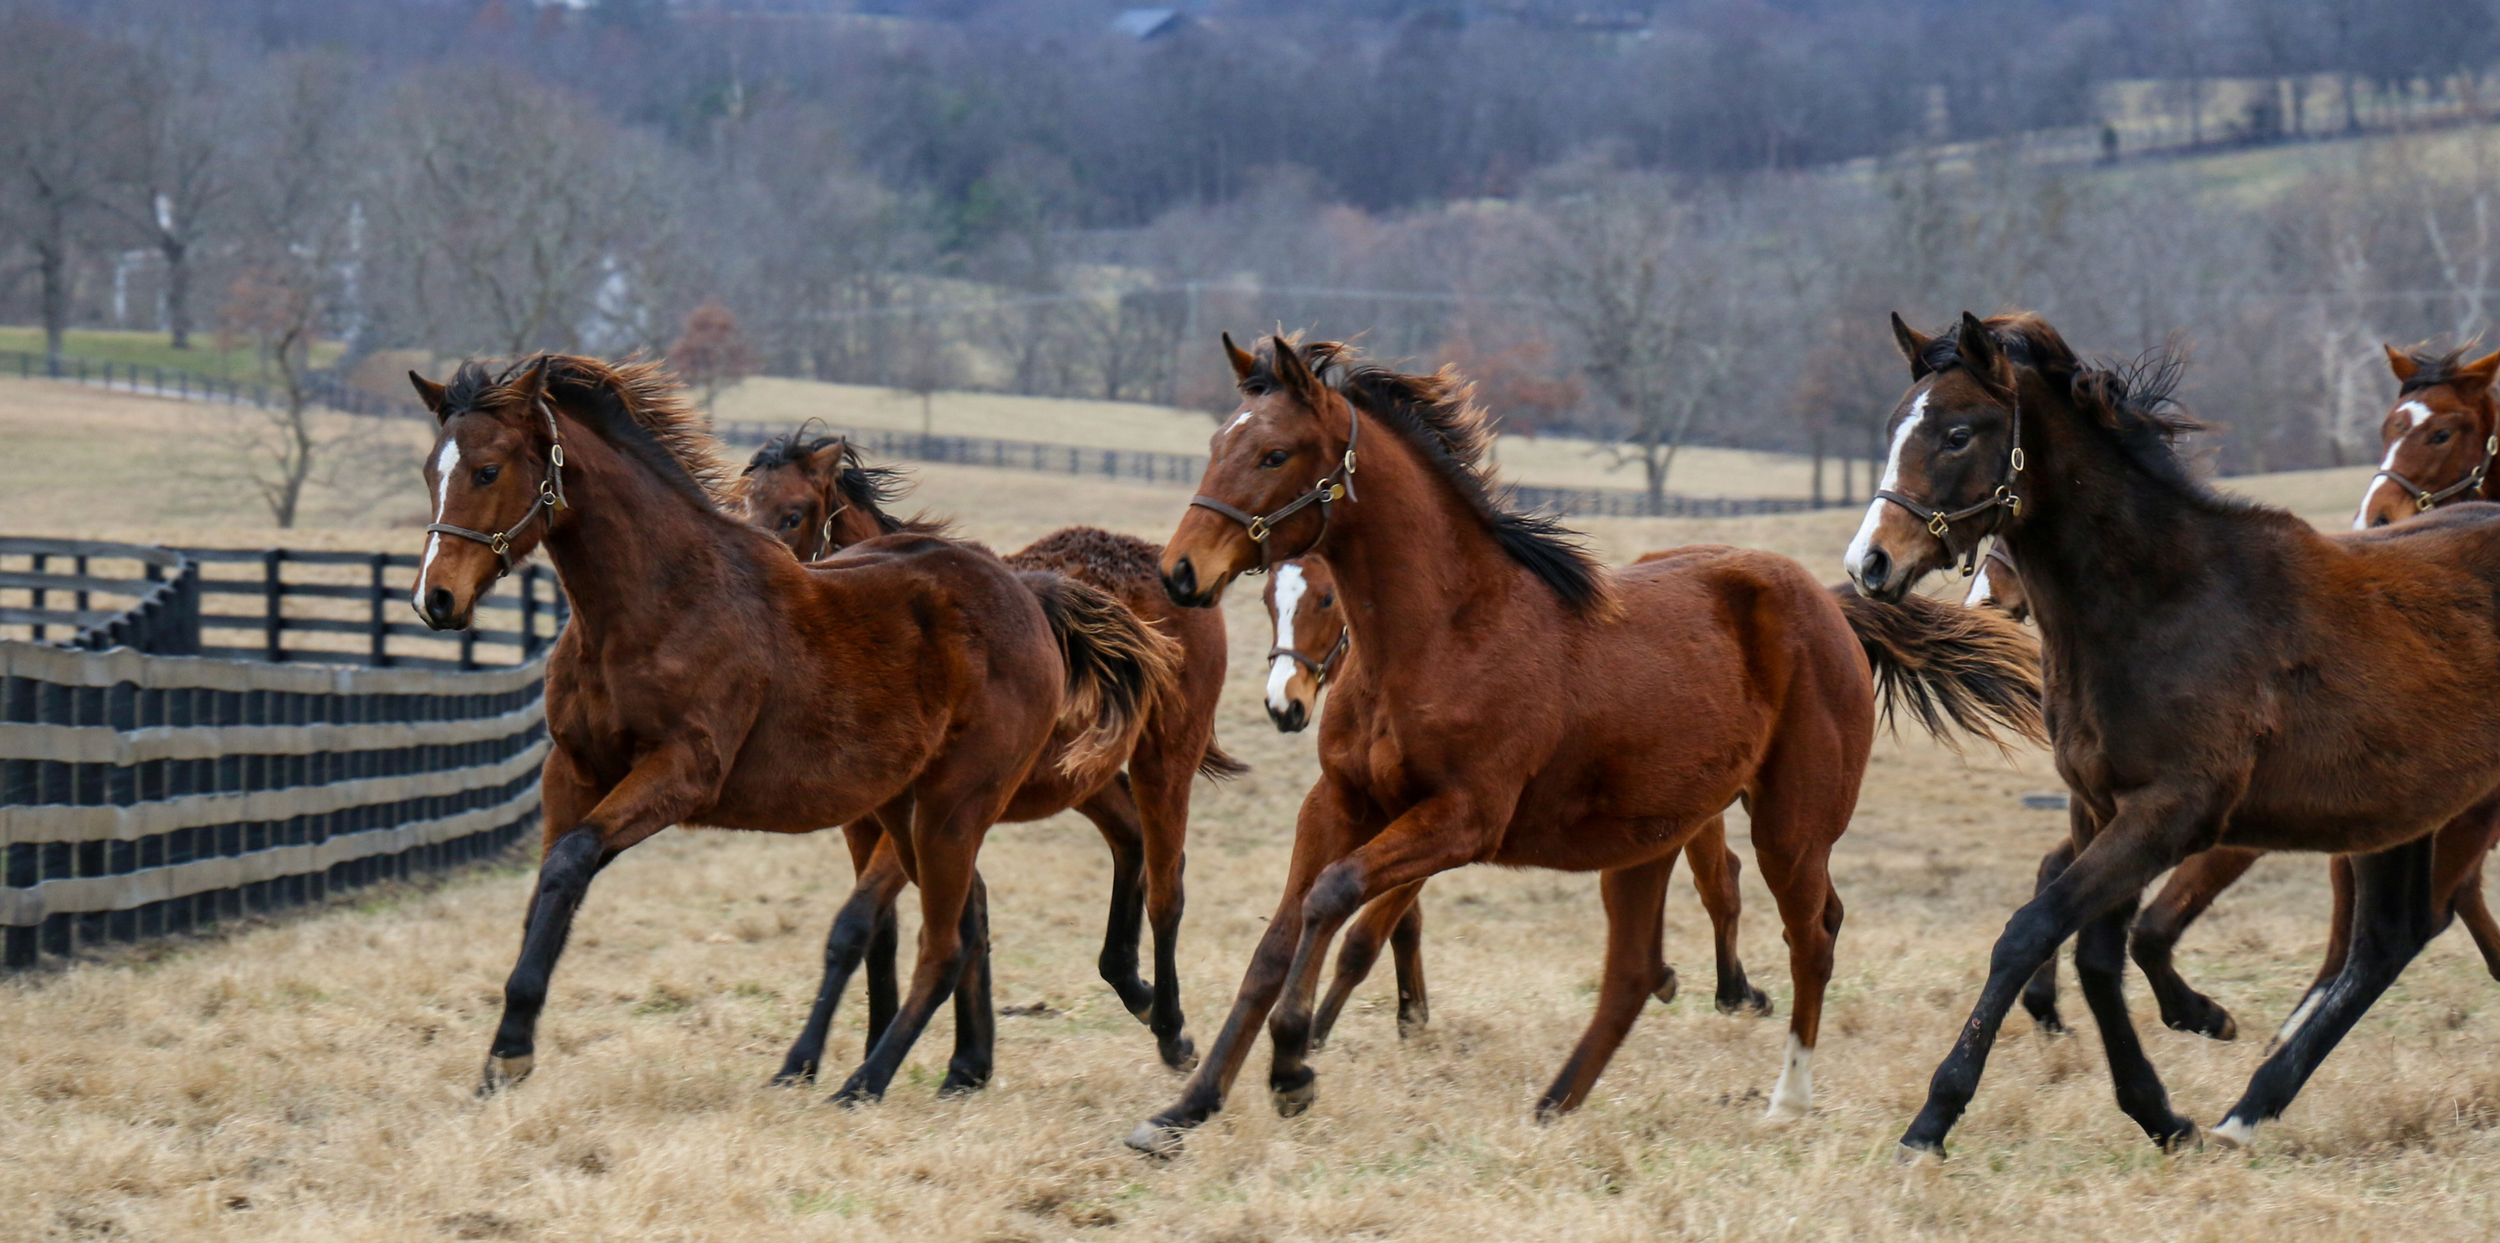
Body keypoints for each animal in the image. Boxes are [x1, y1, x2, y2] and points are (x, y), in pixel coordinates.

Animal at [407, 354, 1174, 1103]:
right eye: (428, 471)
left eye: (488, 469)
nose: (434, 598)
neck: (656, 605)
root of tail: (1029, 595)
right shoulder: (572, 772)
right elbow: (549, 886)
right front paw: (505, 1052)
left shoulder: (682, 772)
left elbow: (571, 862)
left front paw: (511, 1051)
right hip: (904, 810)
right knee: (963, 924)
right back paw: (959, 1067)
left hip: (954, 808)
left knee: (946, 943)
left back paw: (865, 1082)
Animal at [735, 430, 1238, 1073]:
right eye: (743, 501)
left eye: (794, 514)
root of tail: (1177, 572)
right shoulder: (869, 821)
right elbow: (891, 931)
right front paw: (931, 1055)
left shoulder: (923, 811)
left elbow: (862, 924)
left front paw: (815, 1061)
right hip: (1085, 777)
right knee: (1131, 843)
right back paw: (1132, 986)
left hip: (1165, 758)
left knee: (1166, 882)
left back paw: (1171, 1028)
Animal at [1260, 555, 1772, 1047]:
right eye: (1269, 599)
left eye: (1327, 599)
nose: (1285, 706)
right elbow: (1401, 922)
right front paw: (1409, 1015)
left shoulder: (1449, 822)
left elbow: (1367, 934)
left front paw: (1319, 1029)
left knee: (1720, 883)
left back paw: (1732, 992)